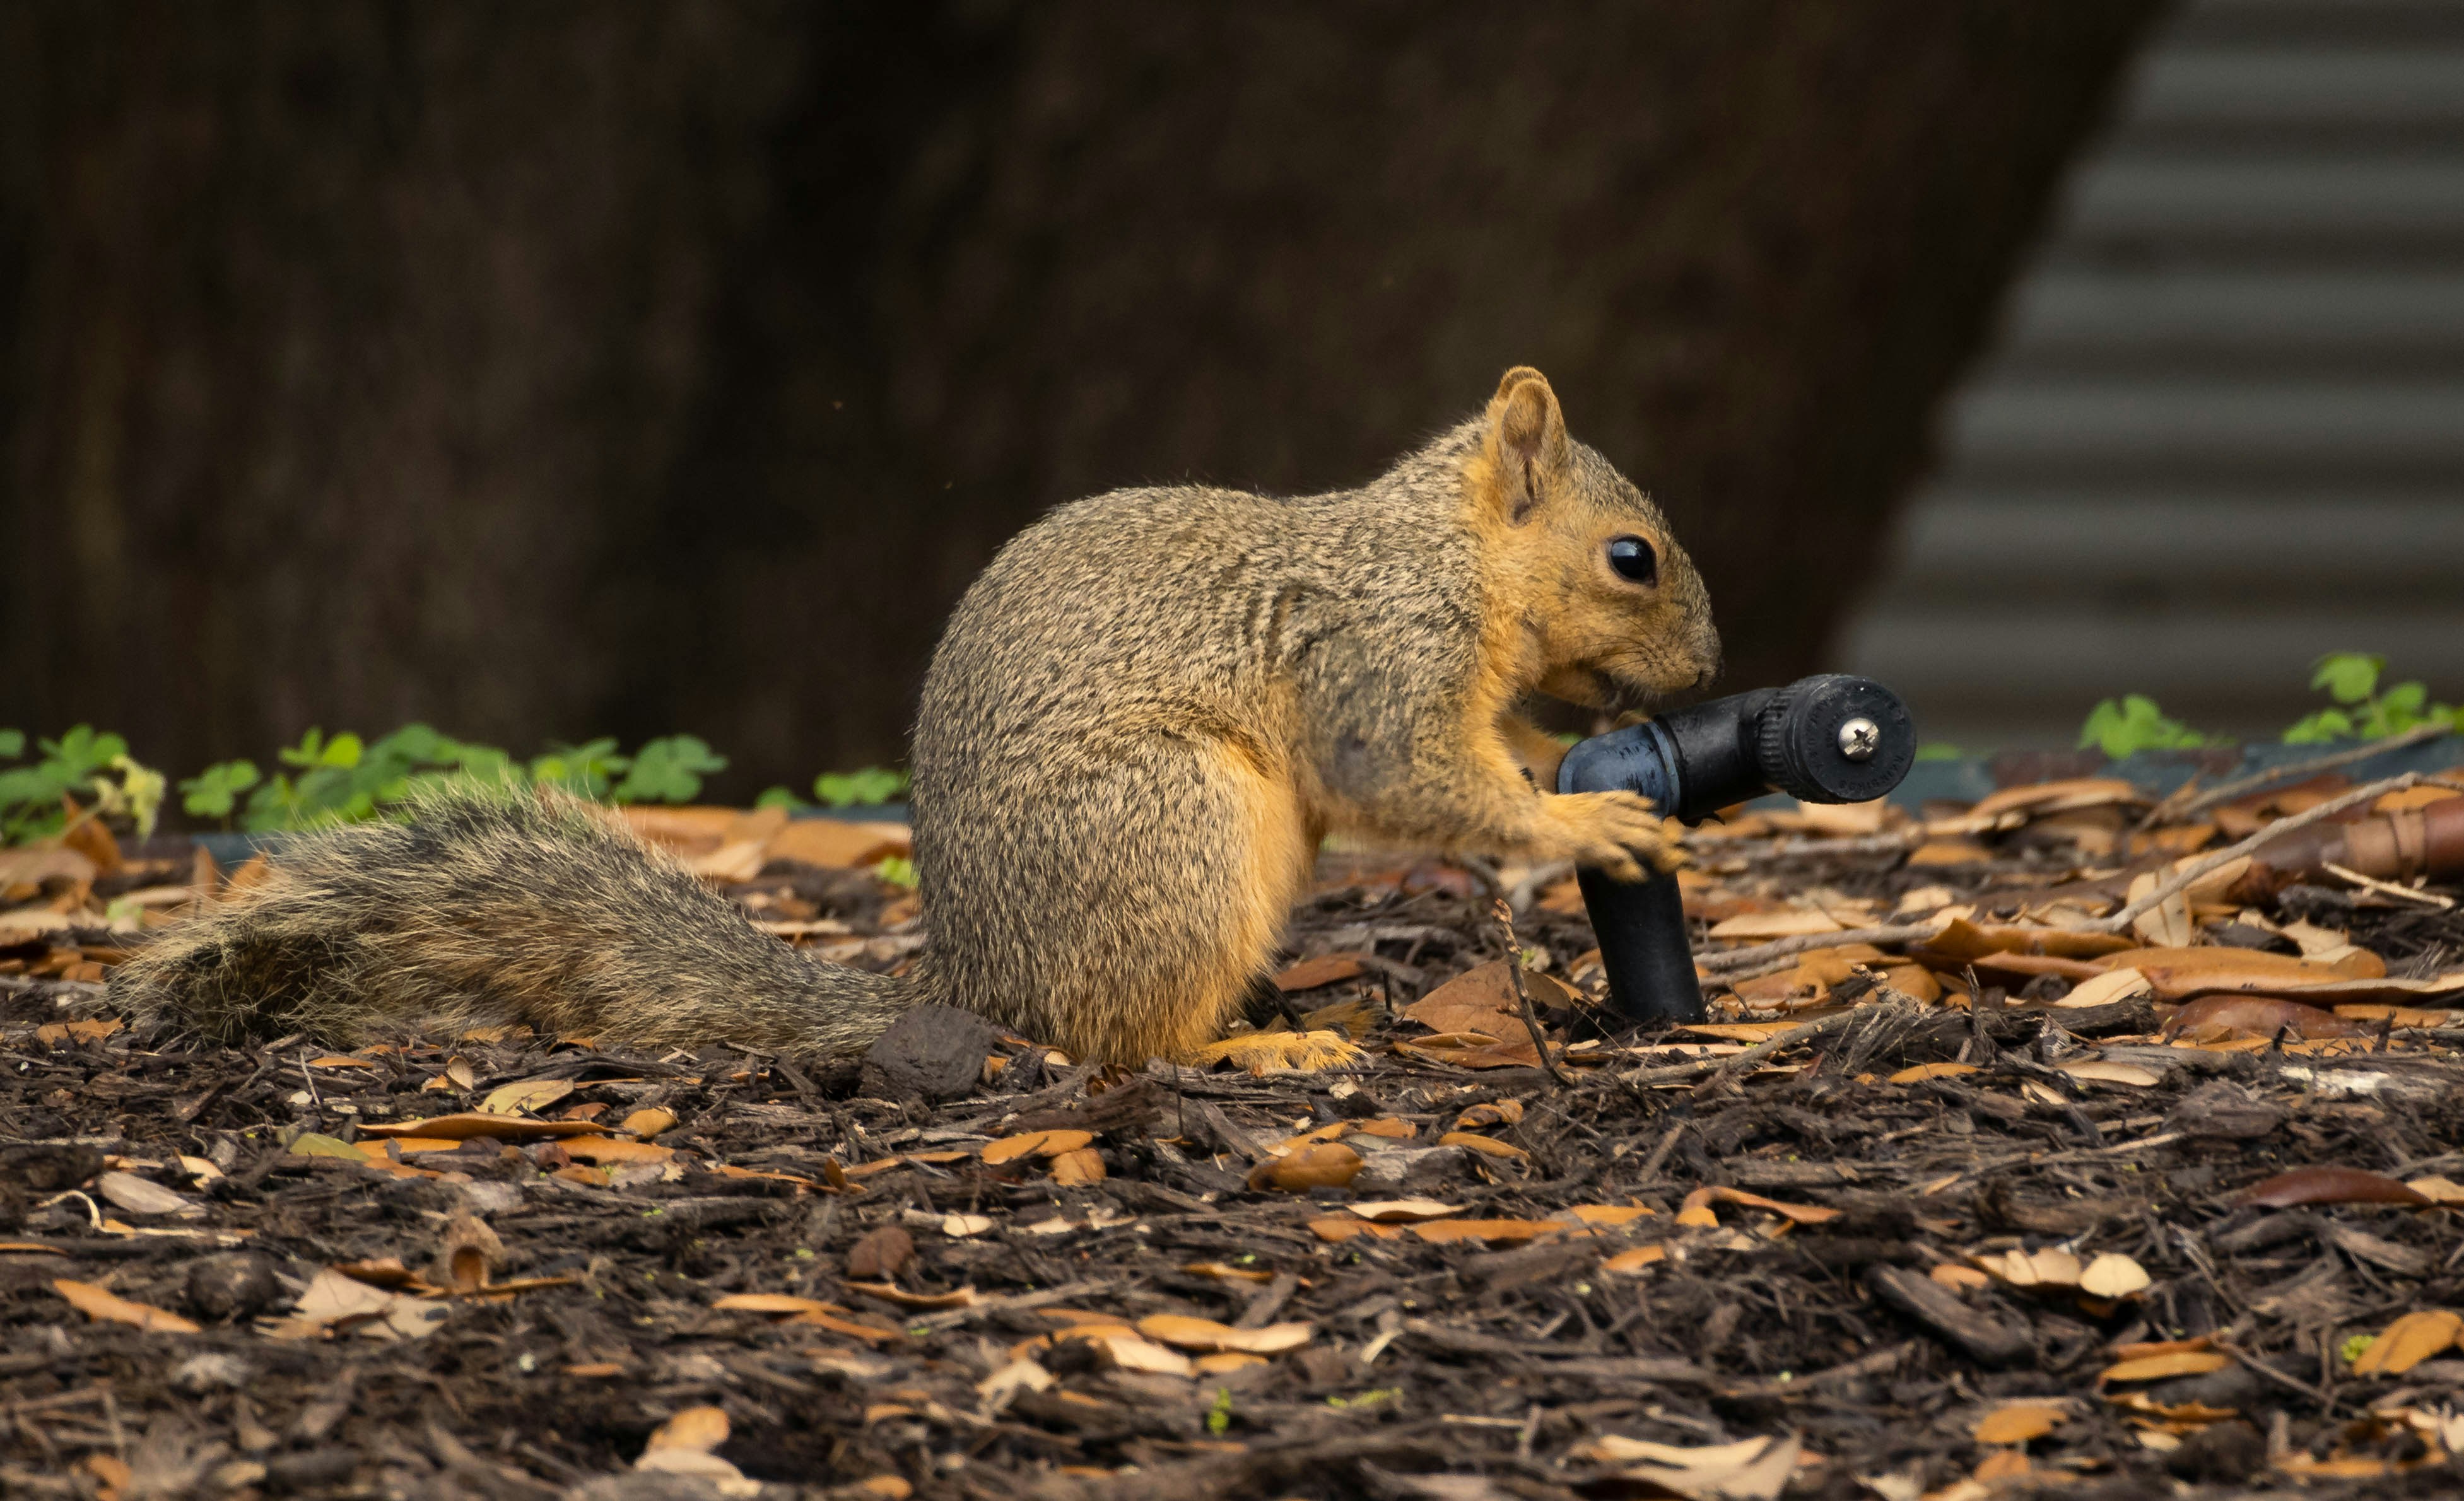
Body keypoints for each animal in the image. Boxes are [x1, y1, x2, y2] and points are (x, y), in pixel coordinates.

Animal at [111, 367, 1720, 1068]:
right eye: (1630, 558)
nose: (1709, 672)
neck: (1447, 557)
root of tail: (973, 985)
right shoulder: (1378, 660)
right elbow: (1417, 775)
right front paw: (1592, 815)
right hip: (1172, 827)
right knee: (1117, 1047)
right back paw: (1256, 1050)